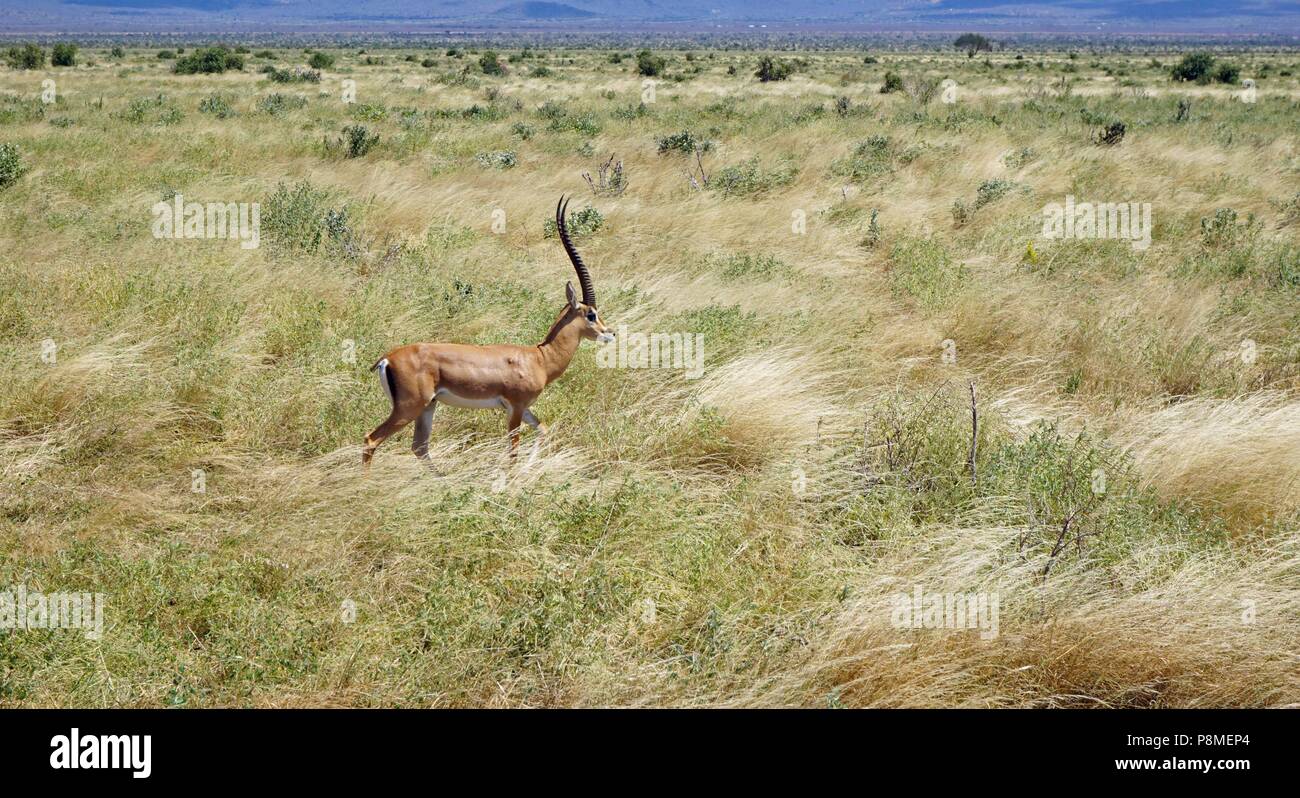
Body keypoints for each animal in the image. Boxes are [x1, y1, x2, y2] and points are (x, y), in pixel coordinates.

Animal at [362, 196, 615, 467]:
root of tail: (387, 359)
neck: (538, 358)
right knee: (371, 440)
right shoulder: (515, 407)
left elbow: (543, 430)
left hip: (427, 407)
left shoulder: (523, 408)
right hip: (409, 407)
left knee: (419, 447)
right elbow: (513, 452)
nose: (610, 333)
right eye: (591, 314)